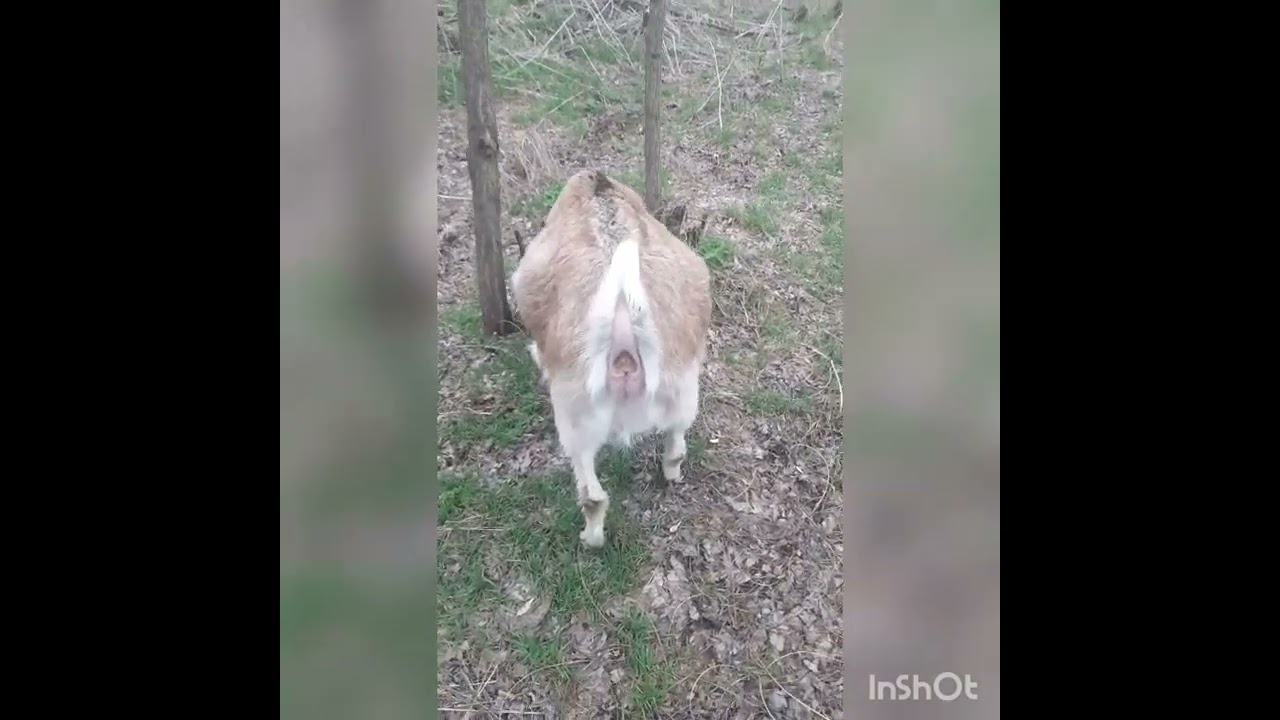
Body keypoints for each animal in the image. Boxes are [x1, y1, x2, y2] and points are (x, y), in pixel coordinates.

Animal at [510, 170, 712, 549]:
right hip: (681, 389)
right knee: (676, 444)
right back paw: (671, 474)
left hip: (576, 414)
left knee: (591, 494)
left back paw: (590, 538)